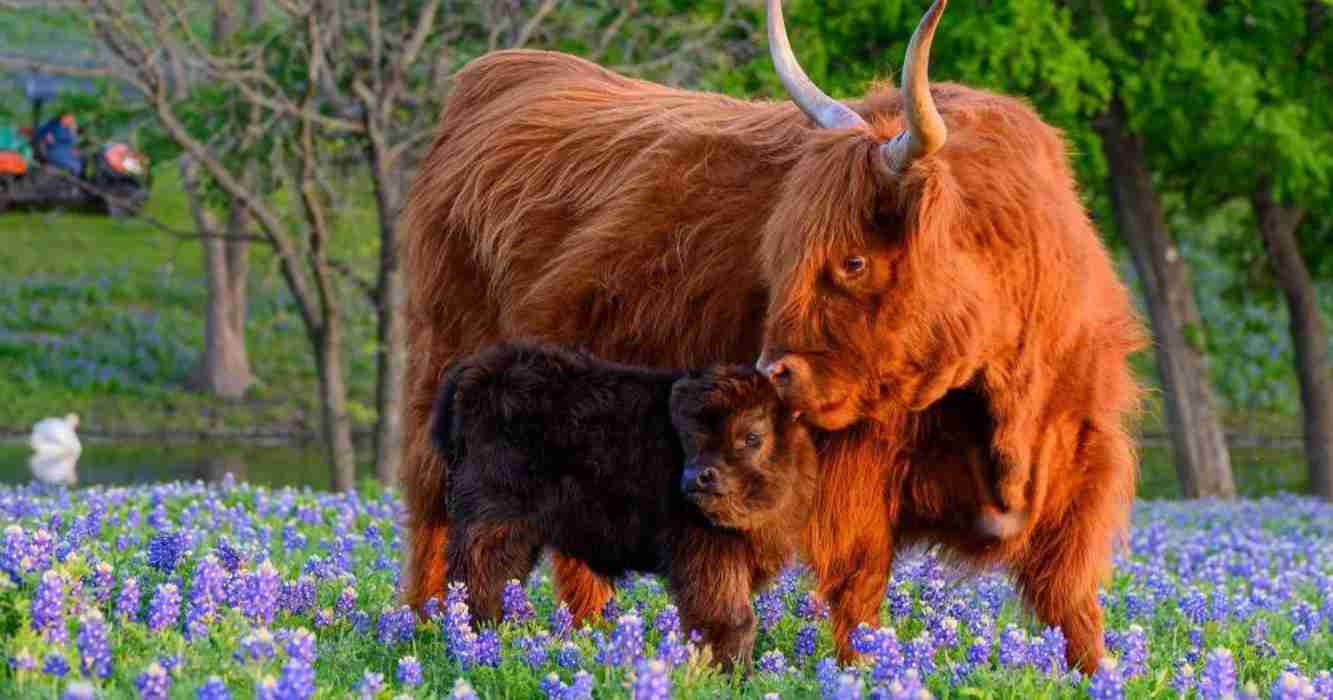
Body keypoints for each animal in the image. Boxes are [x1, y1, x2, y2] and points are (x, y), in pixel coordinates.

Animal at [399, 0, 1145, 674]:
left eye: (852, 261)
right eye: (777, 256)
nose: (773, 372)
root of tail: (508, 72)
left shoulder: (1078, 460)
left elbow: (1070, 600)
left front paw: (1097, 673)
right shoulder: (853, 480)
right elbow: (858, 588)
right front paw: (861, 671)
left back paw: (587, 635)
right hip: (445, 386)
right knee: (436, 522)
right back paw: (431, 629)